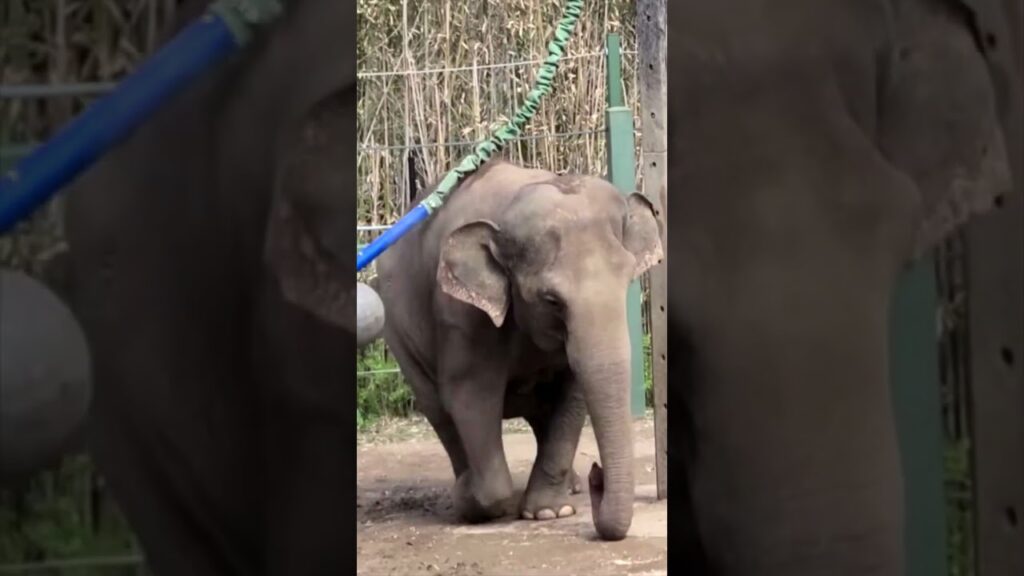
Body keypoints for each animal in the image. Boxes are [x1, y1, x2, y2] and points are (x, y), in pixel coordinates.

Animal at [375, 159, 665, 541]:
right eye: (551, 300)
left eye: (628, 280)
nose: (597, 476)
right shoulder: (461, 314)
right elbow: (471, 395)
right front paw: (482, 500)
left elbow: (572, 394)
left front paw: (549, 512)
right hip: (398, 334)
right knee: (438, 411)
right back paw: (466, 489)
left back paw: (567, 487)